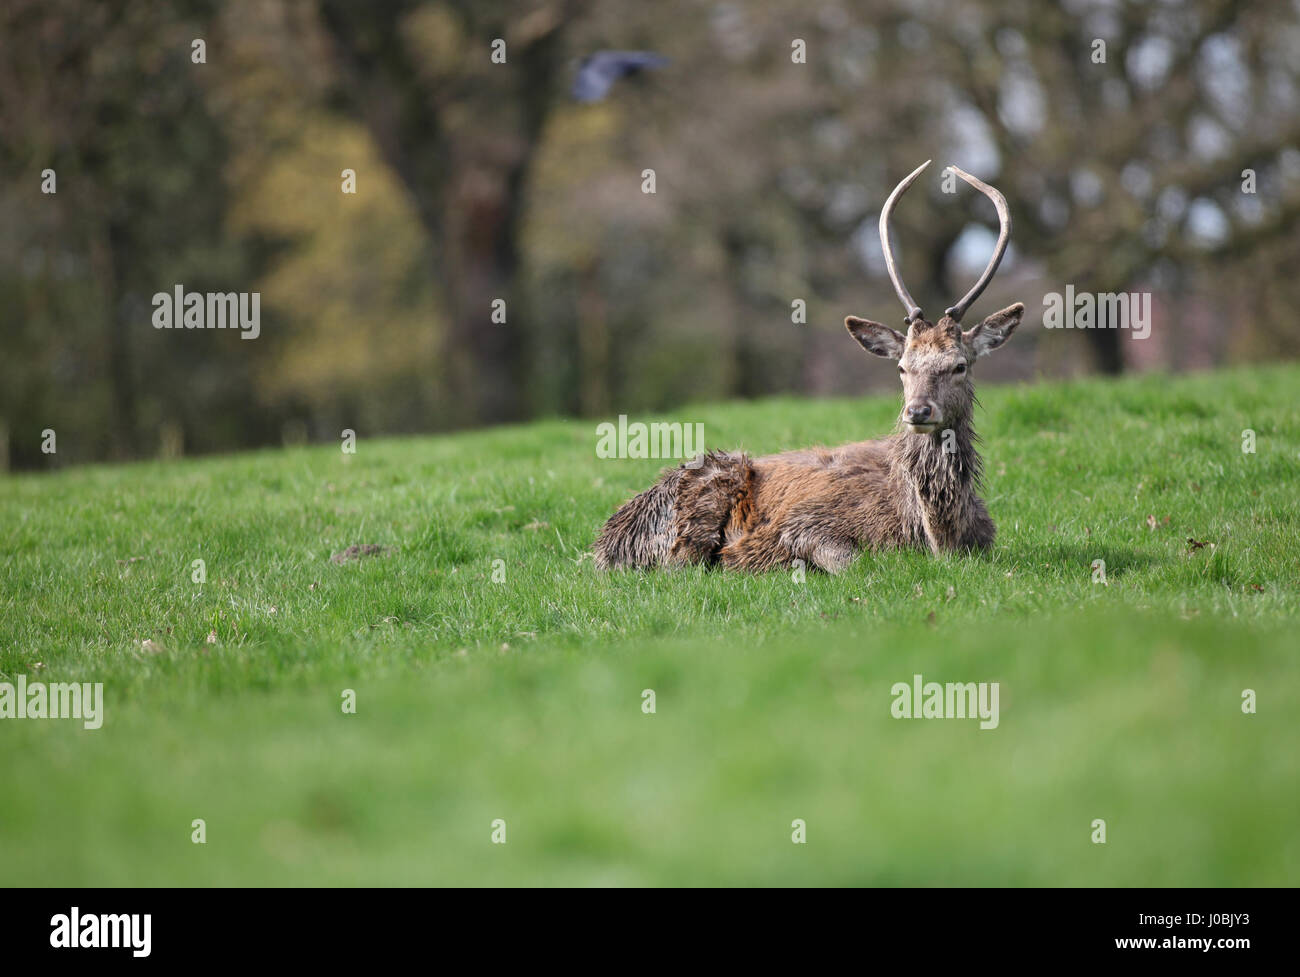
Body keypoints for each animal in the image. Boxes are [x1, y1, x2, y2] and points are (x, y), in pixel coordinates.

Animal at [593, 161, 1024, 573]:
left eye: (959, 365)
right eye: (902, 367)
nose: (917, 410)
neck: (935, 536)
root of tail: (602, 542)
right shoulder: (804, 524)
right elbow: (854, 564)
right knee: (681, 568)